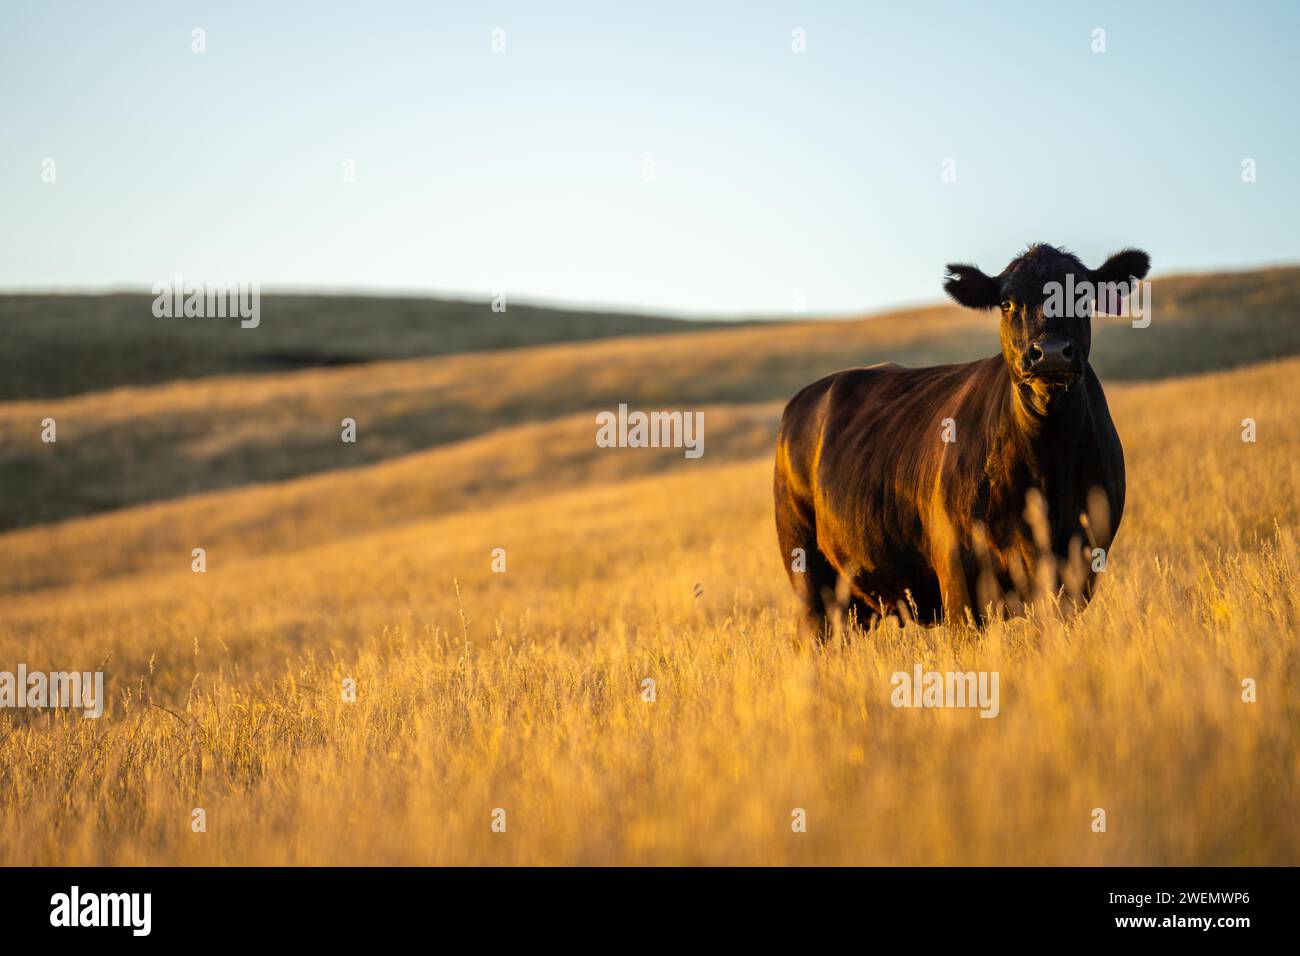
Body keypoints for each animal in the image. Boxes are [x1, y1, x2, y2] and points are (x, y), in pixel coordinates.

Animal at [773, 243, 1149, 633]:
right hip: (808, 574)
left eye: (1082, 295)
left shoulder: (1077, 575)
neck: (1046, 466)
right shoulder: (960, 583)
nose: (1051, 352)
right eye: (1006, 302)